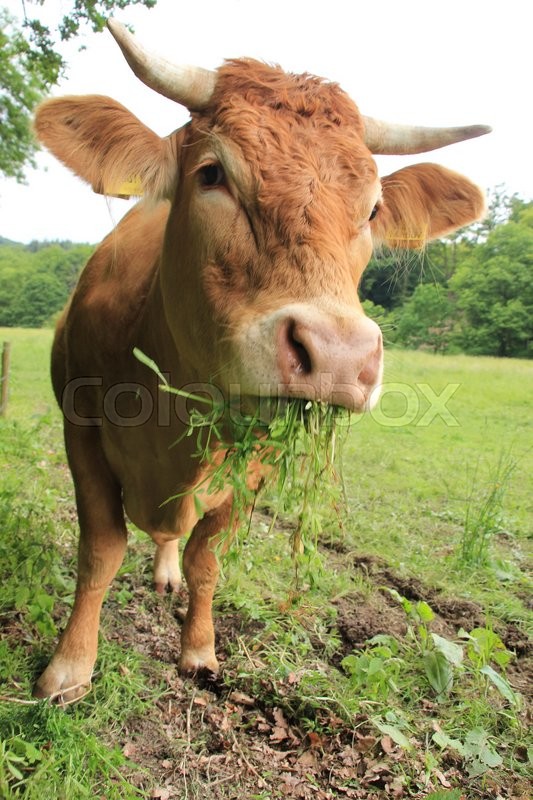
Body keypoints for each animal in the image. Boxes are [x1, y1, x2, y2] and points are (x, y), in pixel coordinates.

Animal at [32, 19, 489, 703]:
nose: (338, 355)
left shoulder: (257, 465)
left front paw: (199, 651)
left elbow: (207, 559)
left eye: (374, 210)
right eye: (211, 174)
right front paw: (69, 668)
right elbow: (101, 550)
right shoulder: (79, 429)